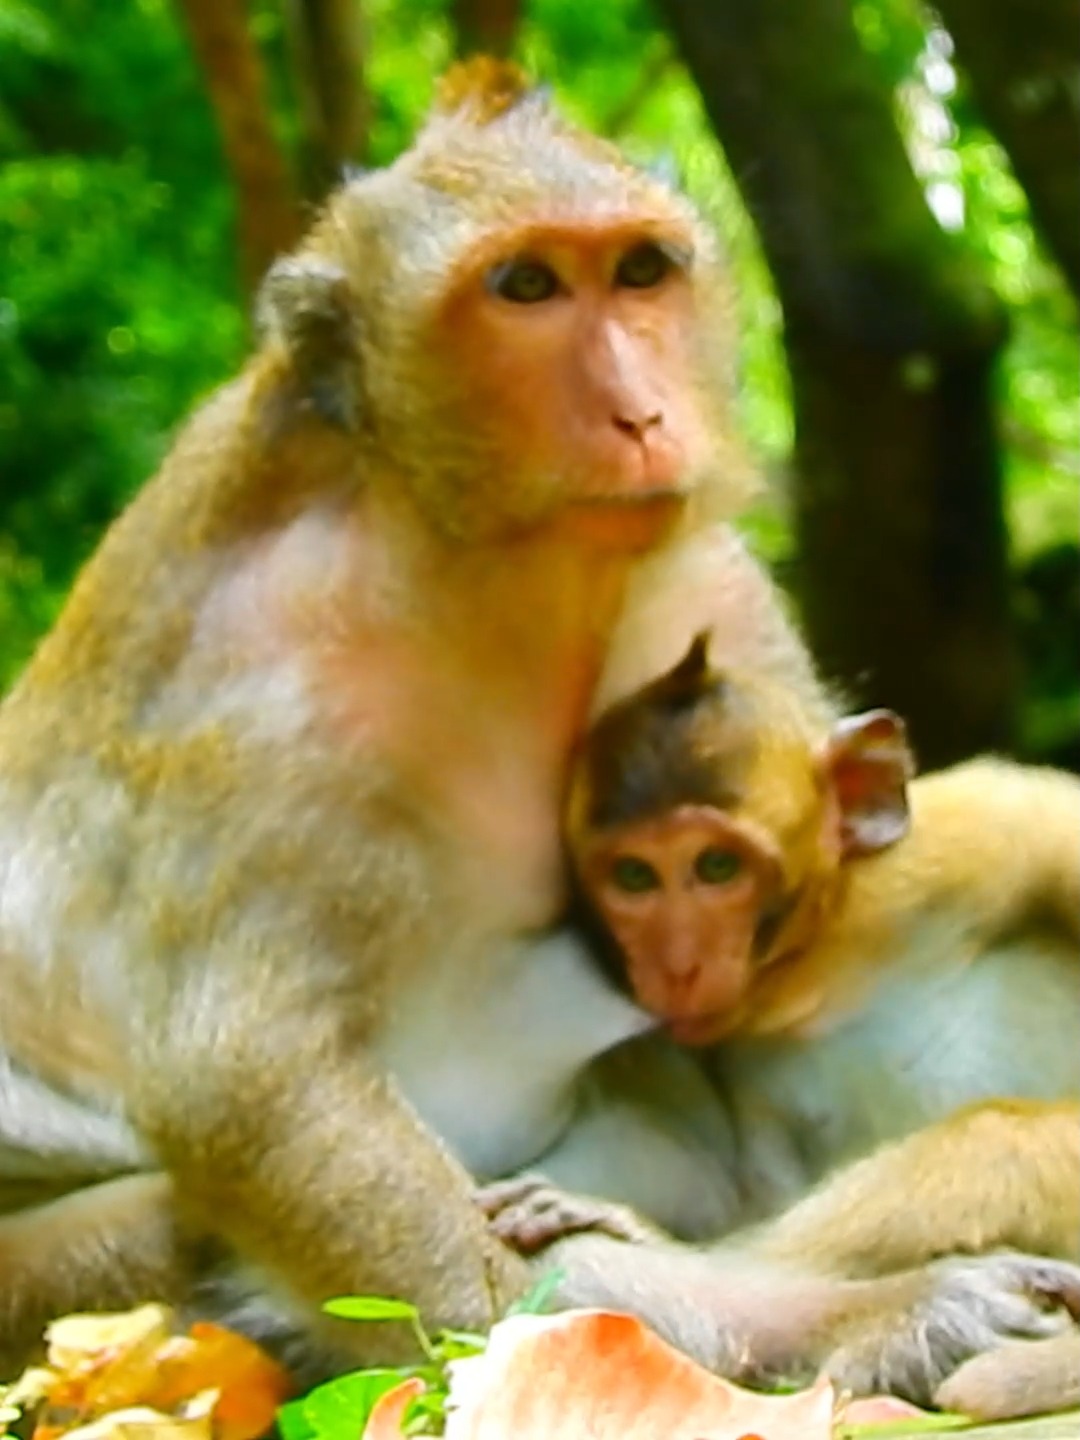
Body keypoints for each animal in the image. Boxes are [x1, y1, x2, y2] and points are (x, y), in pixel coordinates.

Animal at [0, 59, 1077, 1411]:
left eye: (640, 272)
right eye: (525, 288)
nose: (643, 414)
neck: (489, 558)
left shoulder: (712, 580)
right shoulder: (253, 692)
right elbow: (253, 1089)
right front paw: (851, 1313)